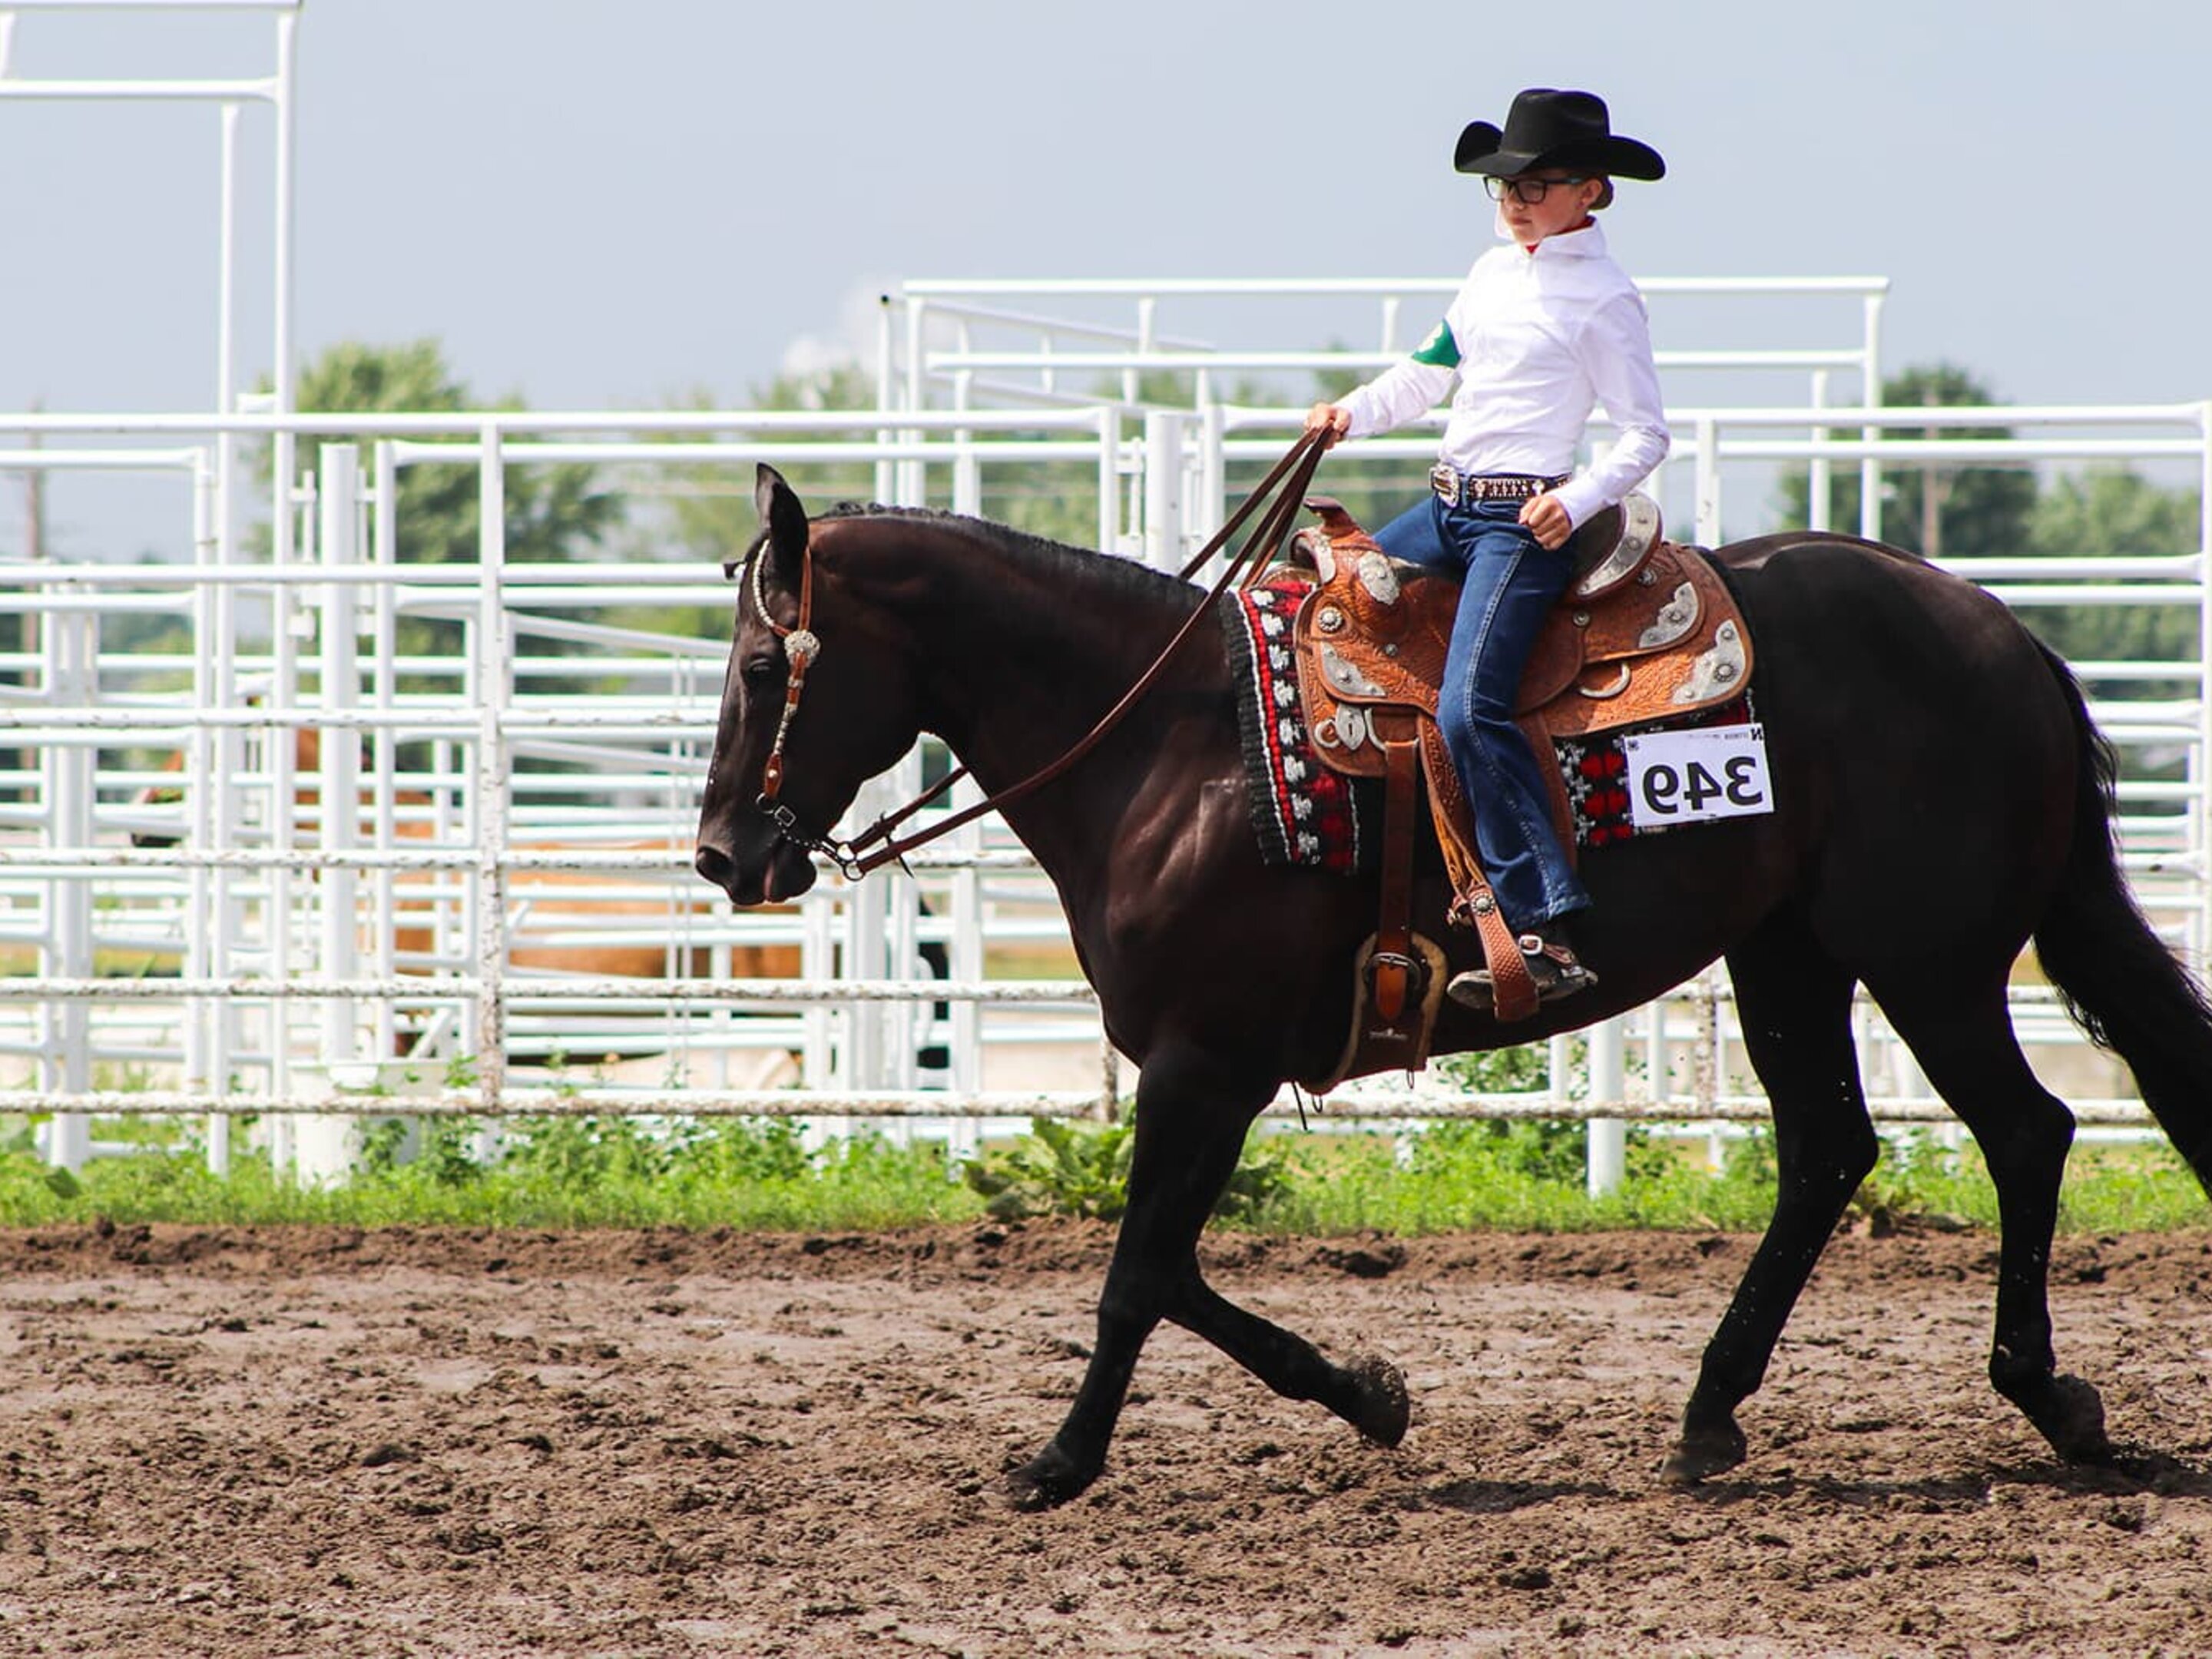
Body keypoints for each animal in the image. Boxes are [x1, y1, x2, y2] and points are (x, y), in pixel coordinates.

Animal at [693, 463, 2212, 1510]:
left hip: (1929, 961)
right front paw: (1369, 1397)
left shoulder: (1205, 1063)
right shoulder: (1210, 1073)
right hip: (1791, 955)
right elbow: (1176, 1272)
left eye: (766, 662)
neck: (1173, 750)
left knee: (2027, 1131)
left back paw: (2052, 1402)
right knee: (1830, 1151)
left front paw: (1058, 1462)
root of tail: (2002, 637)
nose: (721, 856)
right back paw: (1709, 1415)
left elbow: (1137, 1277)